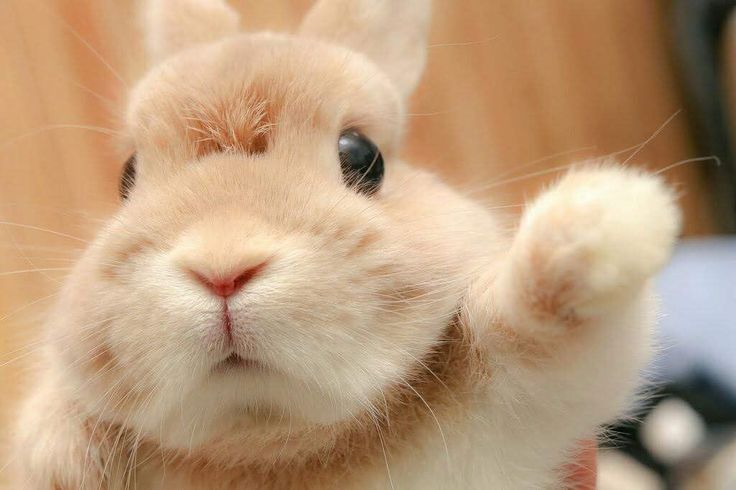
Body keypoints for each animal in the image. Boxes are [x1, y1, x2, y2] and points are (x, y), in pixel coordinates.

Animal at [11, 0, 681, 488]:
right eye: (127, 177)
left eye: (362, 156)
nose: (222, 269)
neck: (279, 446)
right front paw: (59, 450)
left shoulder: (537, 396)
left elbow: (523, 329)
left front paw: (606, 221)